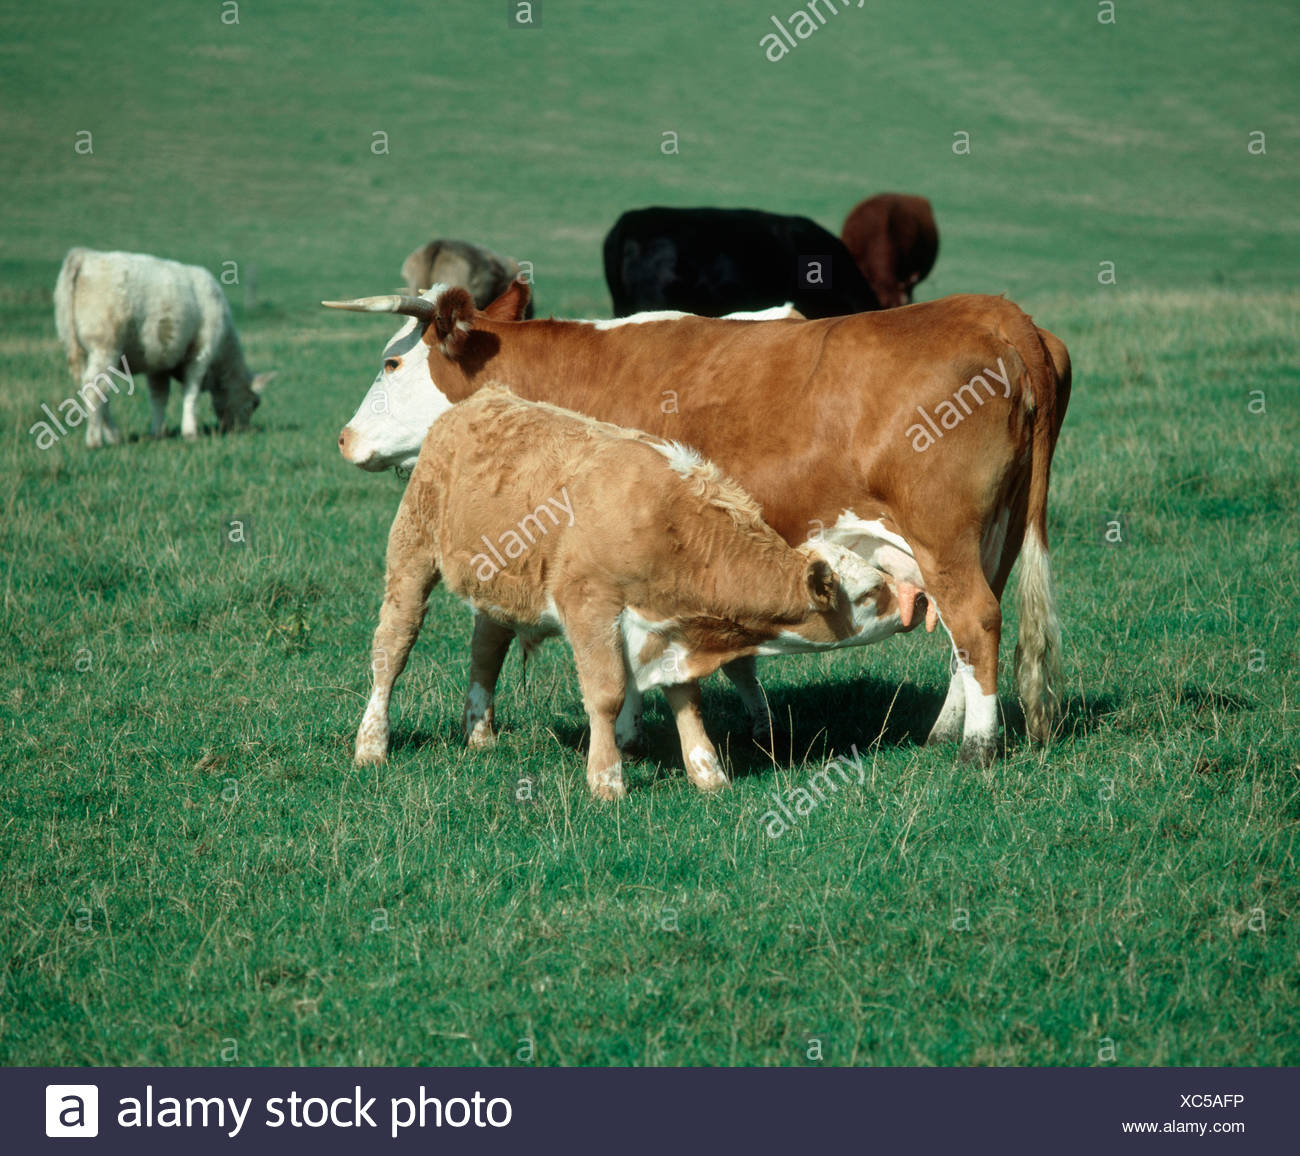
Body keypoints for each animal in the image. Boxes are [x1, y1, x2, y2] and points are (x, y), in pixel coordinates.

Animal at [53, 248, 272, 446]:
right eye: (254, 403)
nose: (242, 431)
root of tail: (86, 255)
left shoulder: (158, 363)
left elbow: (159, 397)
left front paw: (157, 432)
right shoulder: (200, 354)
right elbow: (191, 392)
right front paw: (189, 431)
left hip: (82, 351)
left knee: (92, 390)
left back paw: (113, 436)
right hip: (105, 348)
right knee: (95, 388)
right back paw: (95, 440)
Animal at [354, 386, 923, 799]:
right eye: (871, 590)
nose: (918, 601)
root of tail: (479, 400)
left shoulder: (670, 629)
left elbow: (686, 699)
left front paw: (707, 774)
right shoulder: (590, 607)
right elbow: (606, 695)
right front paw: (607, 781)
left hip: (497, 590)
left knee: (485, 652)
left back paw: (479, 734)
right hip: (411, 554)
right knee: (392, 647)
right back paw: (371, 744)